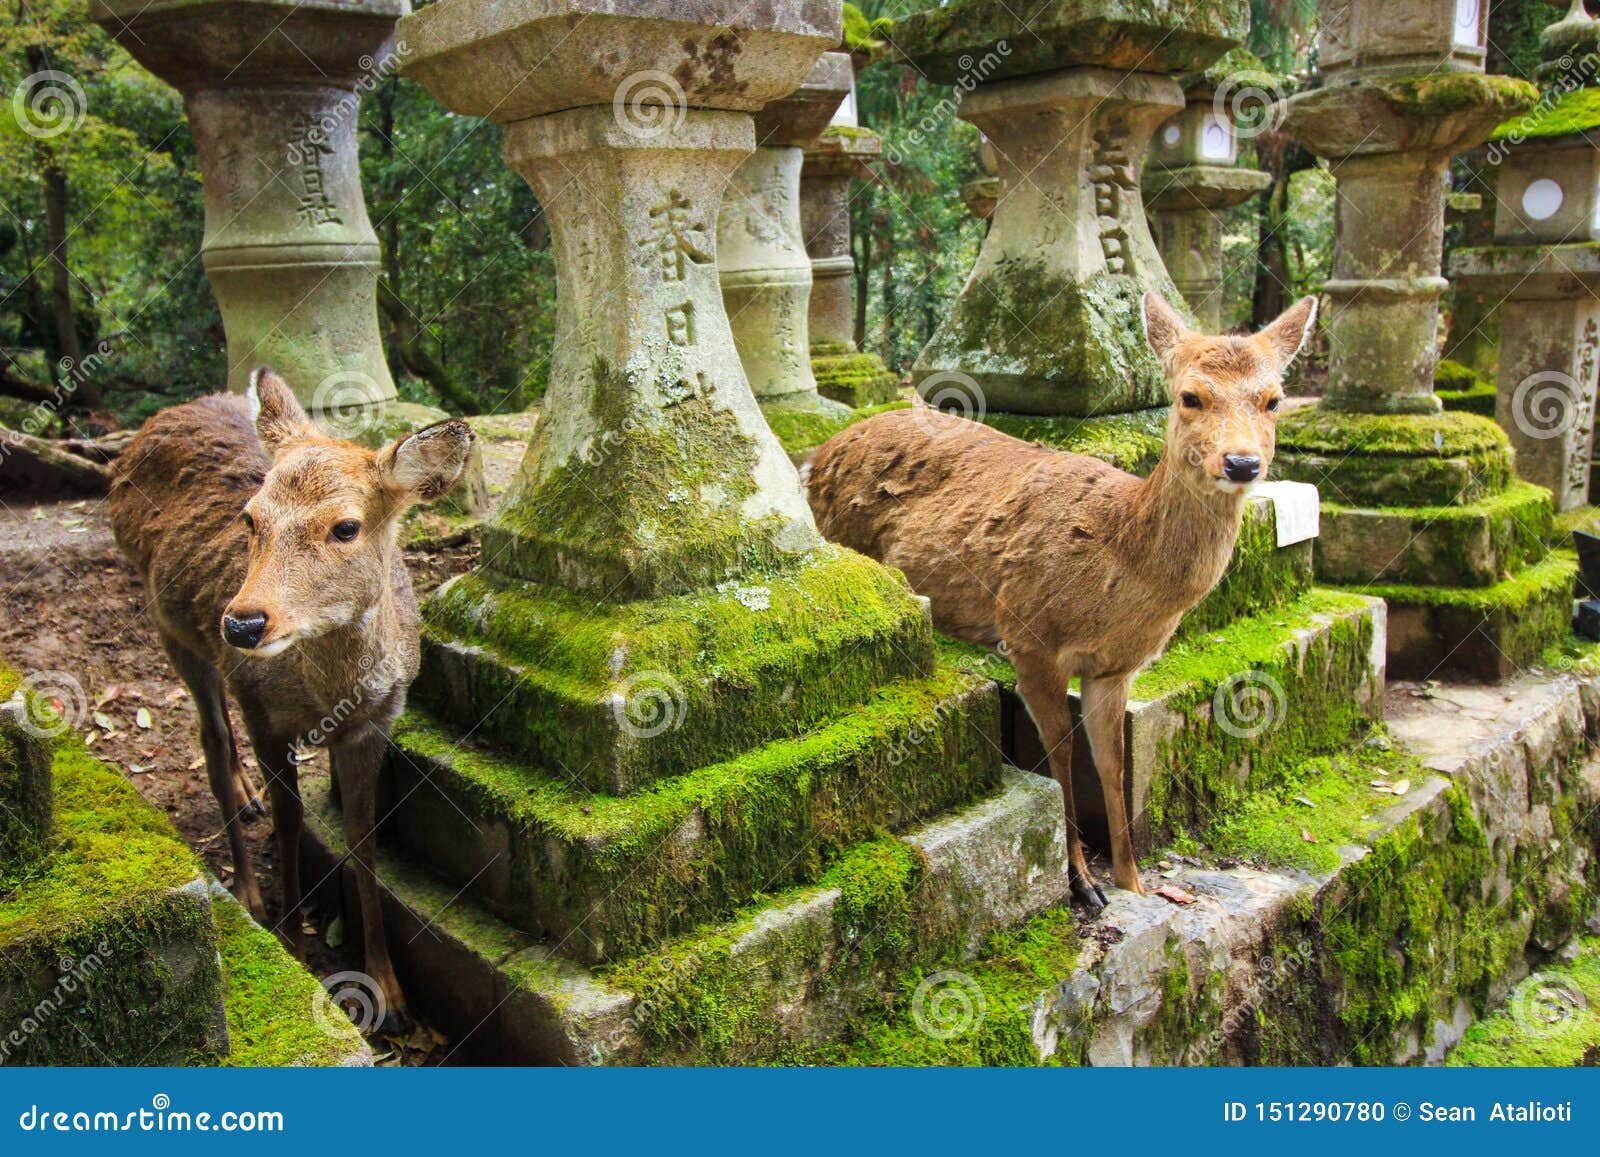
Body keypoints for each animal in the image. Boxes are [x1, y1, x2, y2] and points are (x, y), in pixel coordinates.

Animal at [109, 368, 475, 1030]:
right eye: (249, 520)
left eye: (347, 526)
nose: (243, 623)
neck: (326, 696)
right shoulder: (263, 714)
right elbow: (291, 818)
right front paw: (293, 936)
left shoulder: (377, 722)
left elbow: (362, 835)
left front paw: (390, 993)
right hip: (172, 629)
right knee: (211, 739)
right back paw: (248, 890)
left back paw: (247, 801)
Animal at [805, 293, 1318, 911]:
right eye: (1190, 396)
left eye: (1274, 400)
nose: (1242, 463)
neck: (1120, 562)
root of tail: (819, 455)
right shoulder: (1029, 638)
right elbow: (1061, 760)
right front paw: (1081, 882)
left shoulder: (1117, 667)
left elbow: (1113, 765)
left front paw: (1131, 882)